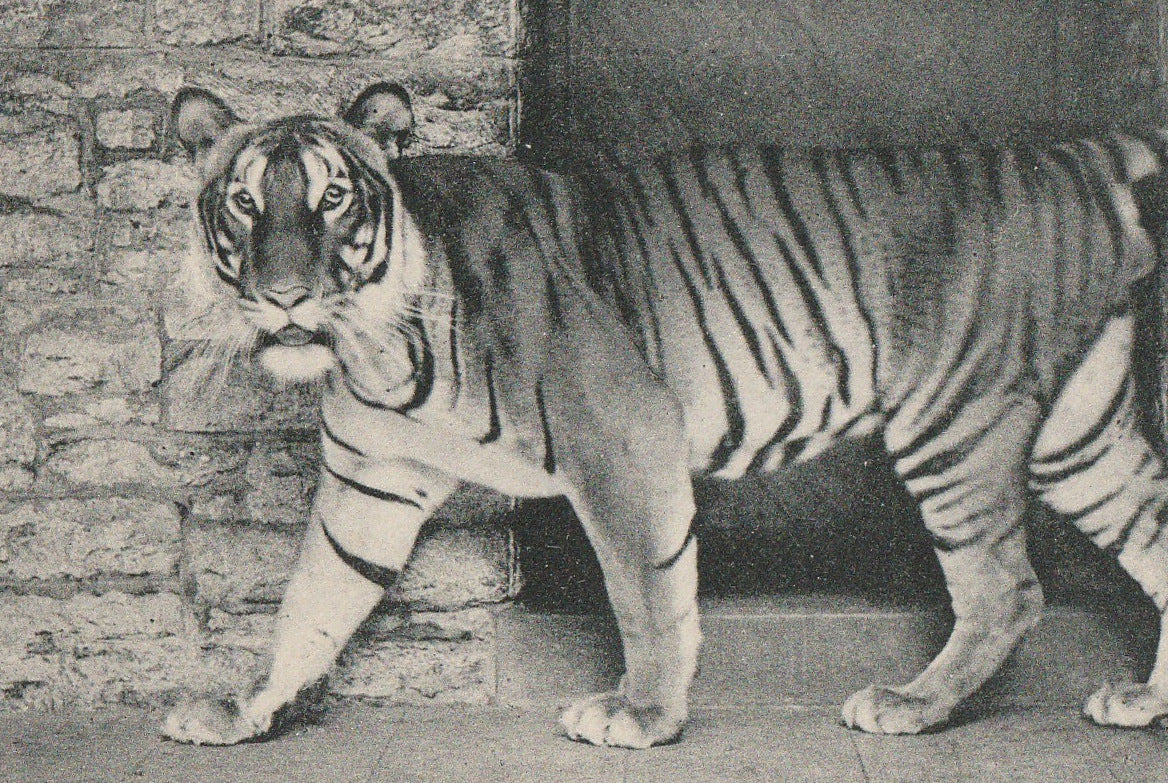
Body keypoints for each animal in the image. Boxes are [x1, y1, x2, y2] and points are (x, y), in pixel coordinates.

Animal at [161, 80, 1168, 749]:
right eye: (245, 202)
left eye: (332, 197)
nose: (284, 298)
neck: (373, 348)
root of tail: (1075, 153)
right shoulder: (370, 483)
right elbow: (313, 602)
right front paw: (243, 708)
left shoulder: (621, 436)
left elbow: (645, 591)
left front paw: (641, 713)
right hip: (1078, 437)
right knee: (1149, 529)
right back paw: (1144, 702)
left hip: (953, 420)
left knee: (1006, 587)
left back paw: (910, 703)